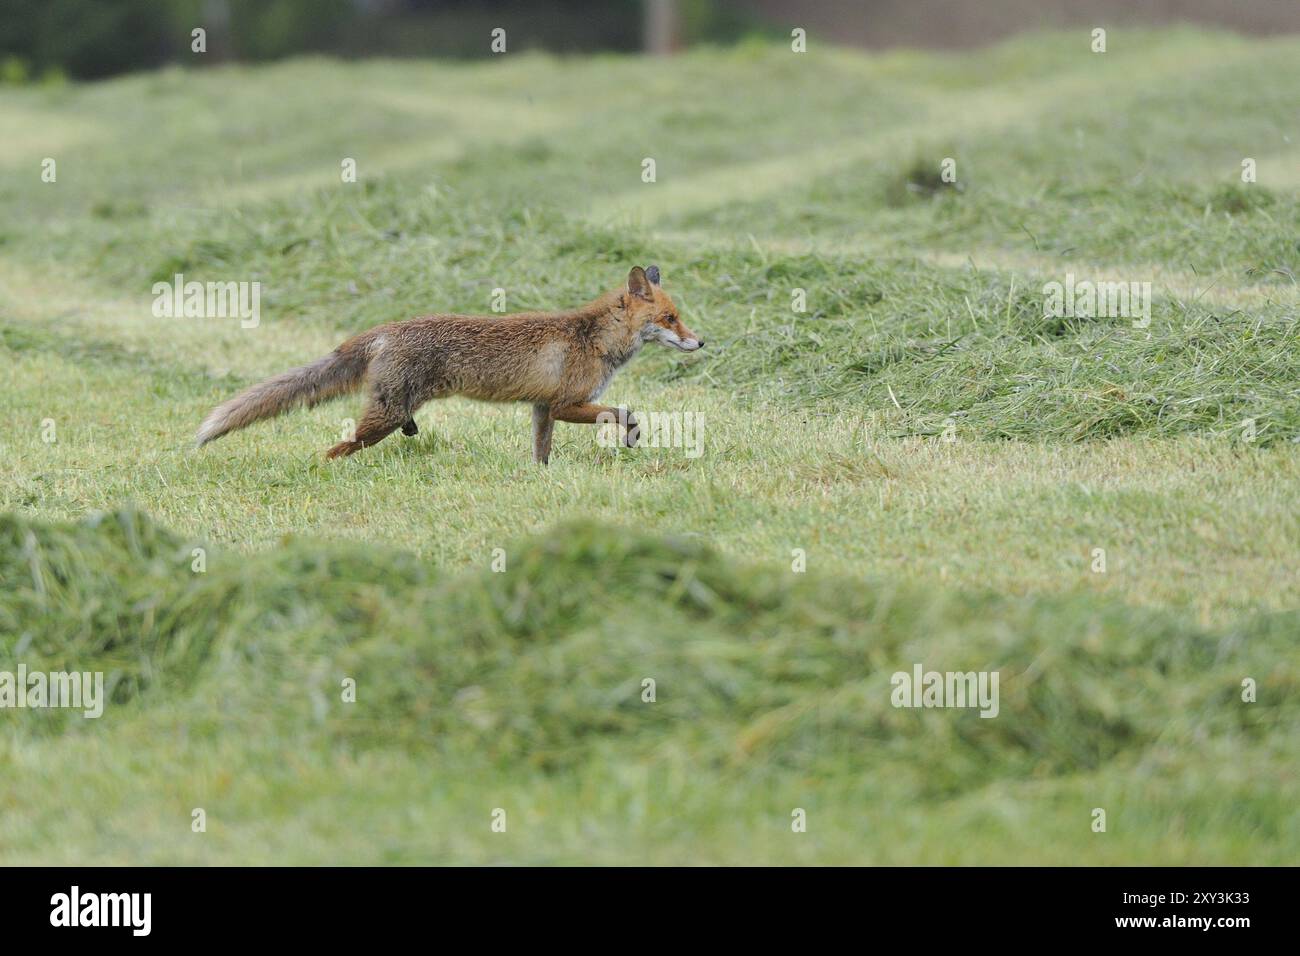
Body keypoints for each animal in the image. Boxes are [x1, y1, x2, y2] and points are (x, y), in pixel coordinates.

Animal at [195, 265, 703, 463]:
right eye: (670, 318)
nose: (701, 341)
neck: (594, 339)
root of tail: (385, 328)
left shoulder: (542, 409)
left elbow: (541, 454)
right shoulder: (566, 403)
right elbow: (625, 412)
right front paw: (632, 435)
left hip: (393, 410)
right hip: (381, 418)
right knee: (337, 449)